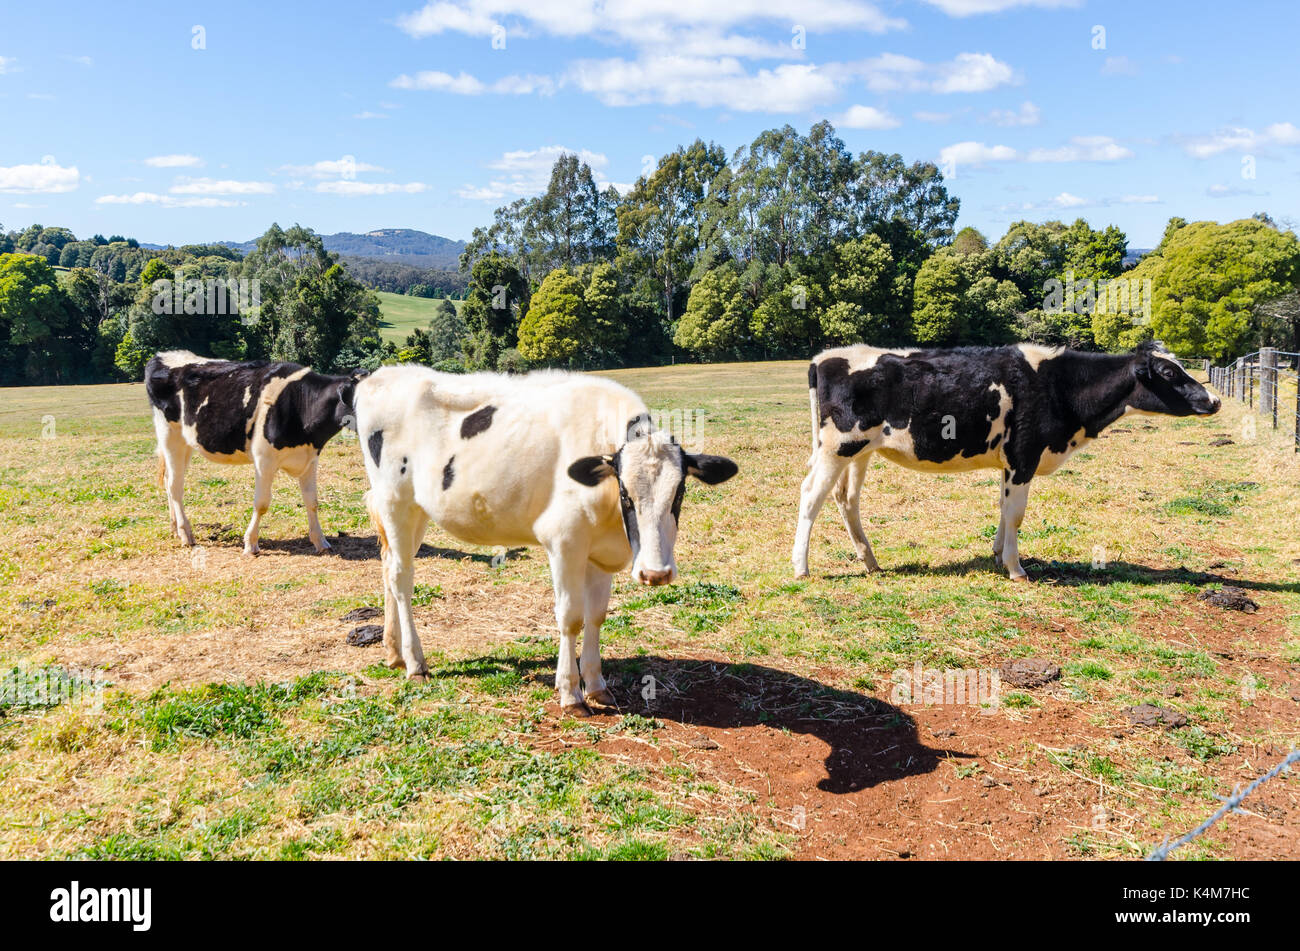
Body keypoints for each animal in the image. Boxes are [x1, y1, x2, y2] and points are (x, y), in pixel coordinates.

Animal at [145, 351, 363, 554]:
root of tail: (163, 355)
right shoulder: (264, 459)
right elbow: (262, 503)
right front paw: (250, 543)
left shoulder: (309, 459)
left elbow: (312, 501)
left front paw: (320, 541)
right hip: (169, 434)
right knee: (175, 486)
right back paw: (185, 533)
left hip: (186, 441)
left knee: (169, 480)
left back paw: (174, 528)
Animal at [354, 366, 738, 716]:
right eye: (626, 494)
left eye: (679, 493)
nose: (655, 573)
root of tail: (383, 374)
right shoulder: (564, 541)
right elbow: (571, 617)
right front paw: (571, 693)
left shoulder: (600, 554)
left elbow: (596, 616)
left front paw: (596, 685)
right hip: (396, 502)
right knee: (402, 579)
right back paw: (415, 662)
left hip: (416, 511)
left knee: (389, 567)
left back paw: (393, 653)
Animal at [793, 341, 1221, 581]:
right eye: (1168, 372)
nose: (1214, 400)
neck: (1058, 384)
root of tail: (826, 357)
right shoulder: (1024, 455)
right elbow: (1016, 514)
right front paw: (1016, 569)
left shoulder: (1008, 462)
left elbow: (1002, 508)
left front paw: (999, 555)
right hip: (838, 447)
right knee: (812, 496)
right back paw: (802, 568)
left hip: (859, 451)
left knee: (846, 499)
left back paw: (870, 562)